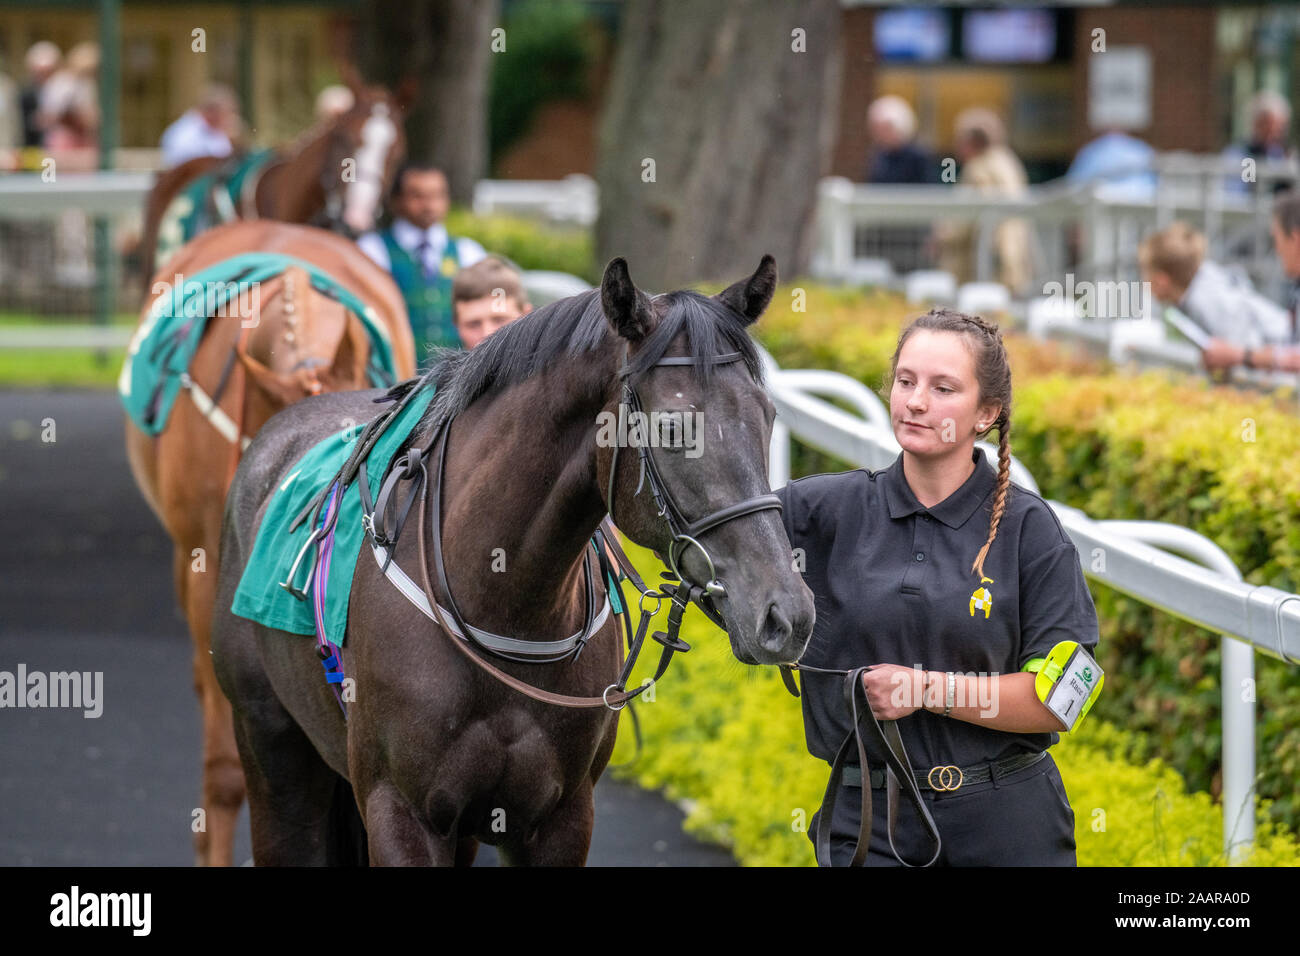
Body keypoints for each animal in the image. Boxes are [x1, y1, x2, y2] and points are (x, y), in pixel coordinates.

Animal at [210, 255, 816, 865]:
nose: (785, 614)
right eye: (673, 427)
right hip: (271, 747)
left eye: (767, 417)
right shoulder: (399, 812)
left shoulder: (560, 818)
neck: (502, 603)